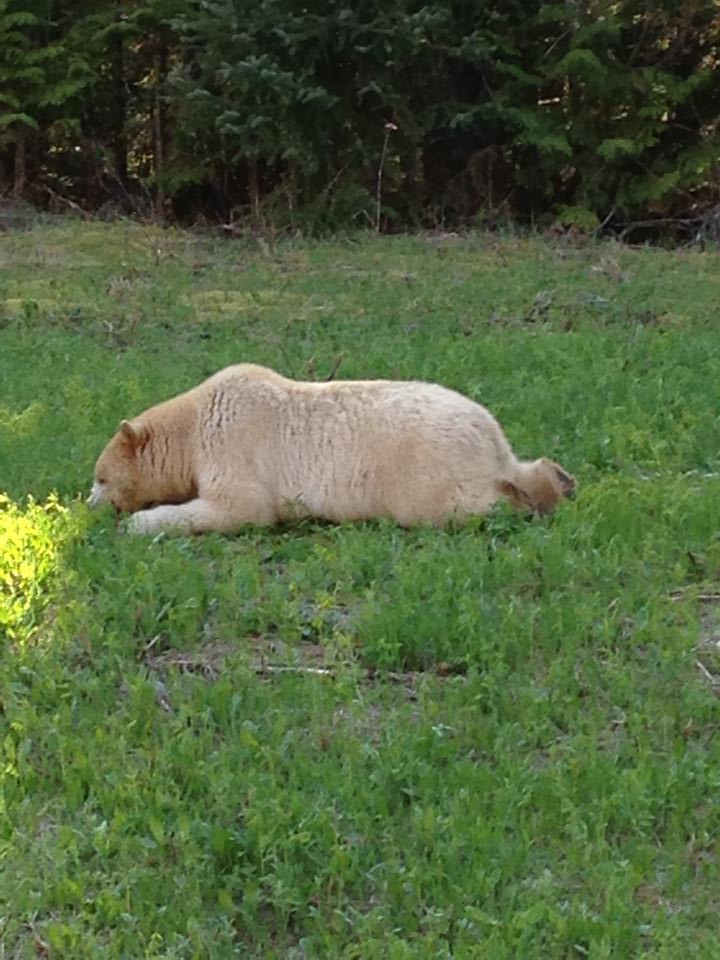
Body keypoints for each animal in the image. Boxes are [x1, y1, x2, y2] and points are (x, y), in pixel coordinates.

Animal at [87, 363, 576, 535]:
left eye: (101, 477)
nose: (90, 504)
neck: (194, 423)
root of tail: (488, 434)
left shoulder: (232, 443)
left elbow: (242, 507)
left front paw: (139, 523)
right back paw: (560, 479)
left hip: (424, 468)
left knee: (454, 504)